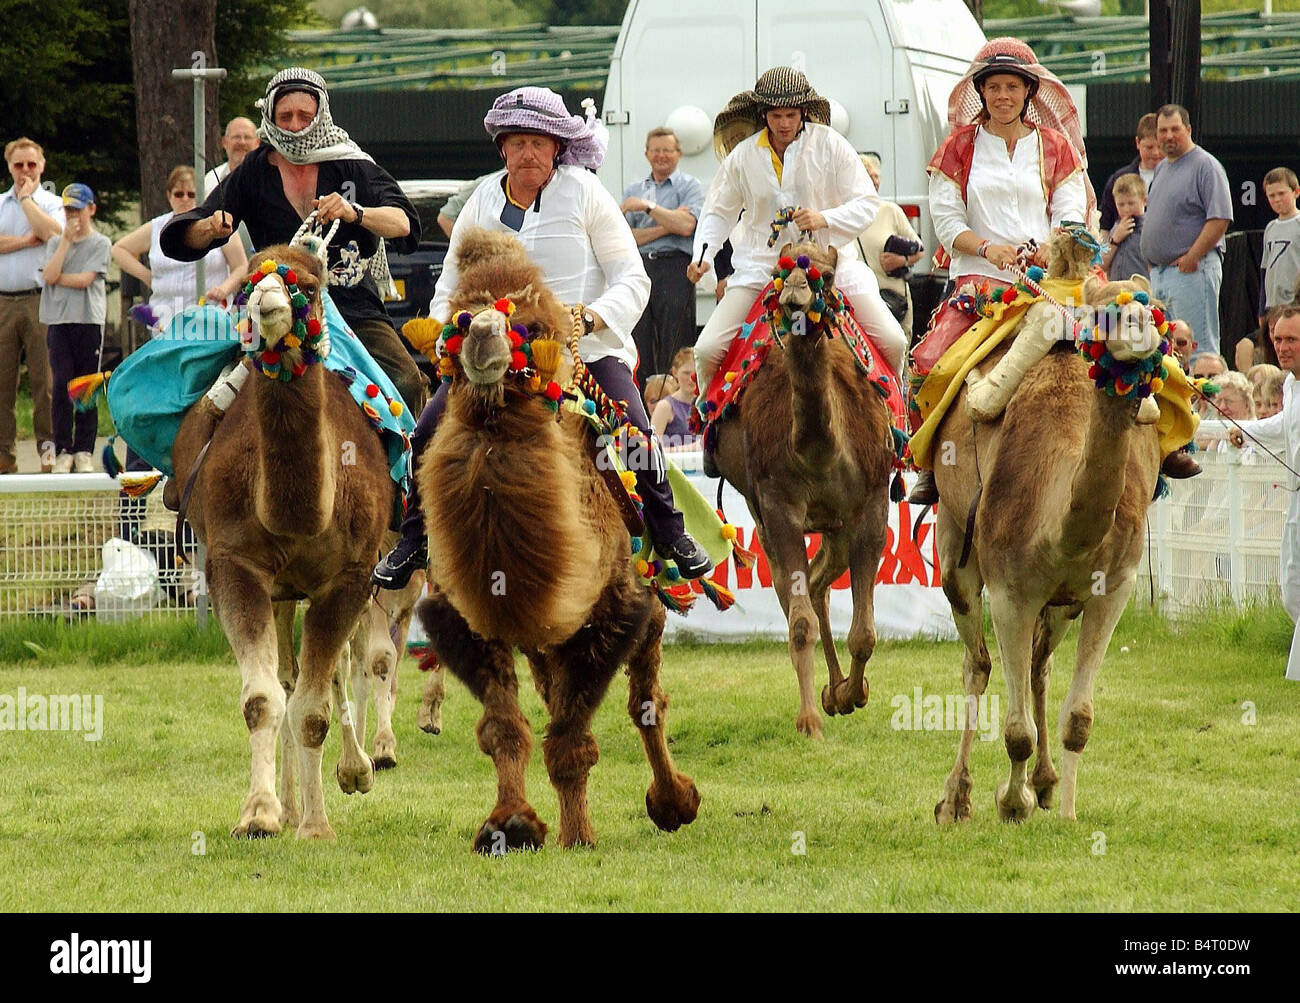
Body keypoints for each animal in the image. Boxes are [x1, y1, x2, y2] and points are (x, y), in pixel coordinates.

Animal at [171, 243, 394, 840]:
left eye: (309, 286)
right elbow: (262, 698)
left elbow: (315, 709)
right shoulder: (236, 565)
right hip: (281, 591)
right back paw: (294, 803)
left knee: (341, 669)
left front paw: (317, 827)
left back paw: (358, 769)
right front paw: (260, 813)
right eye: (249, 283)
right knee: (291, 679)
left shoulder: (350, 577)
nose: (268, 307)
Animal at [415, 228, 700, 852]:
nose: (482, 335)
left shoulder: (616, 611)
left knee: (647, 702)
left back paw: (674, 801)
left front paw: (577, 836)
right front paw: (510, 824)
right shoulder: (462, 615)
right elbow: (502, 727)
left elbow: (572, 739)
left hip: (649, 595)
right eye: (458, 315)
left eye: (535, 327)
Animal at [710, 241, 897, 738]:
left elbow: (865, 632)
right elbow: (798, 624)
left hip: (837, 523)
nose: (795, 298)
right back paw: (827, 694)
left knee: (819, 580)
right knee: (798, 589)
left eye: (826, 276)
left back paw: (838, 690)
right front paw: (811, 719)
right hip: (761, 508)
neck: (820, 450)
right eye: (779, 273)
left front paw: (853, 693)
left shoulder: (871, 503)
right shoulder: (777, 505)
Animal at [930, 231, 1164, 824]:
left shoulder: (1112, 590)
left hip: (1063, 602)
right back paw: (955, 797)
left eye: (1151, 305)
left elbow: (1078, 719)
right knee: (977, 662)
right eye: (1103, 309)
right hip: (956, 548)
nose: (1141, 327)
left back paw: (1046, 781)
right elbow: (1015, 730)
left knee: (1038, 666)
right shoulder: (1010, 592)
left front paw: (1067, 814)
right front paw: (1010, 803)